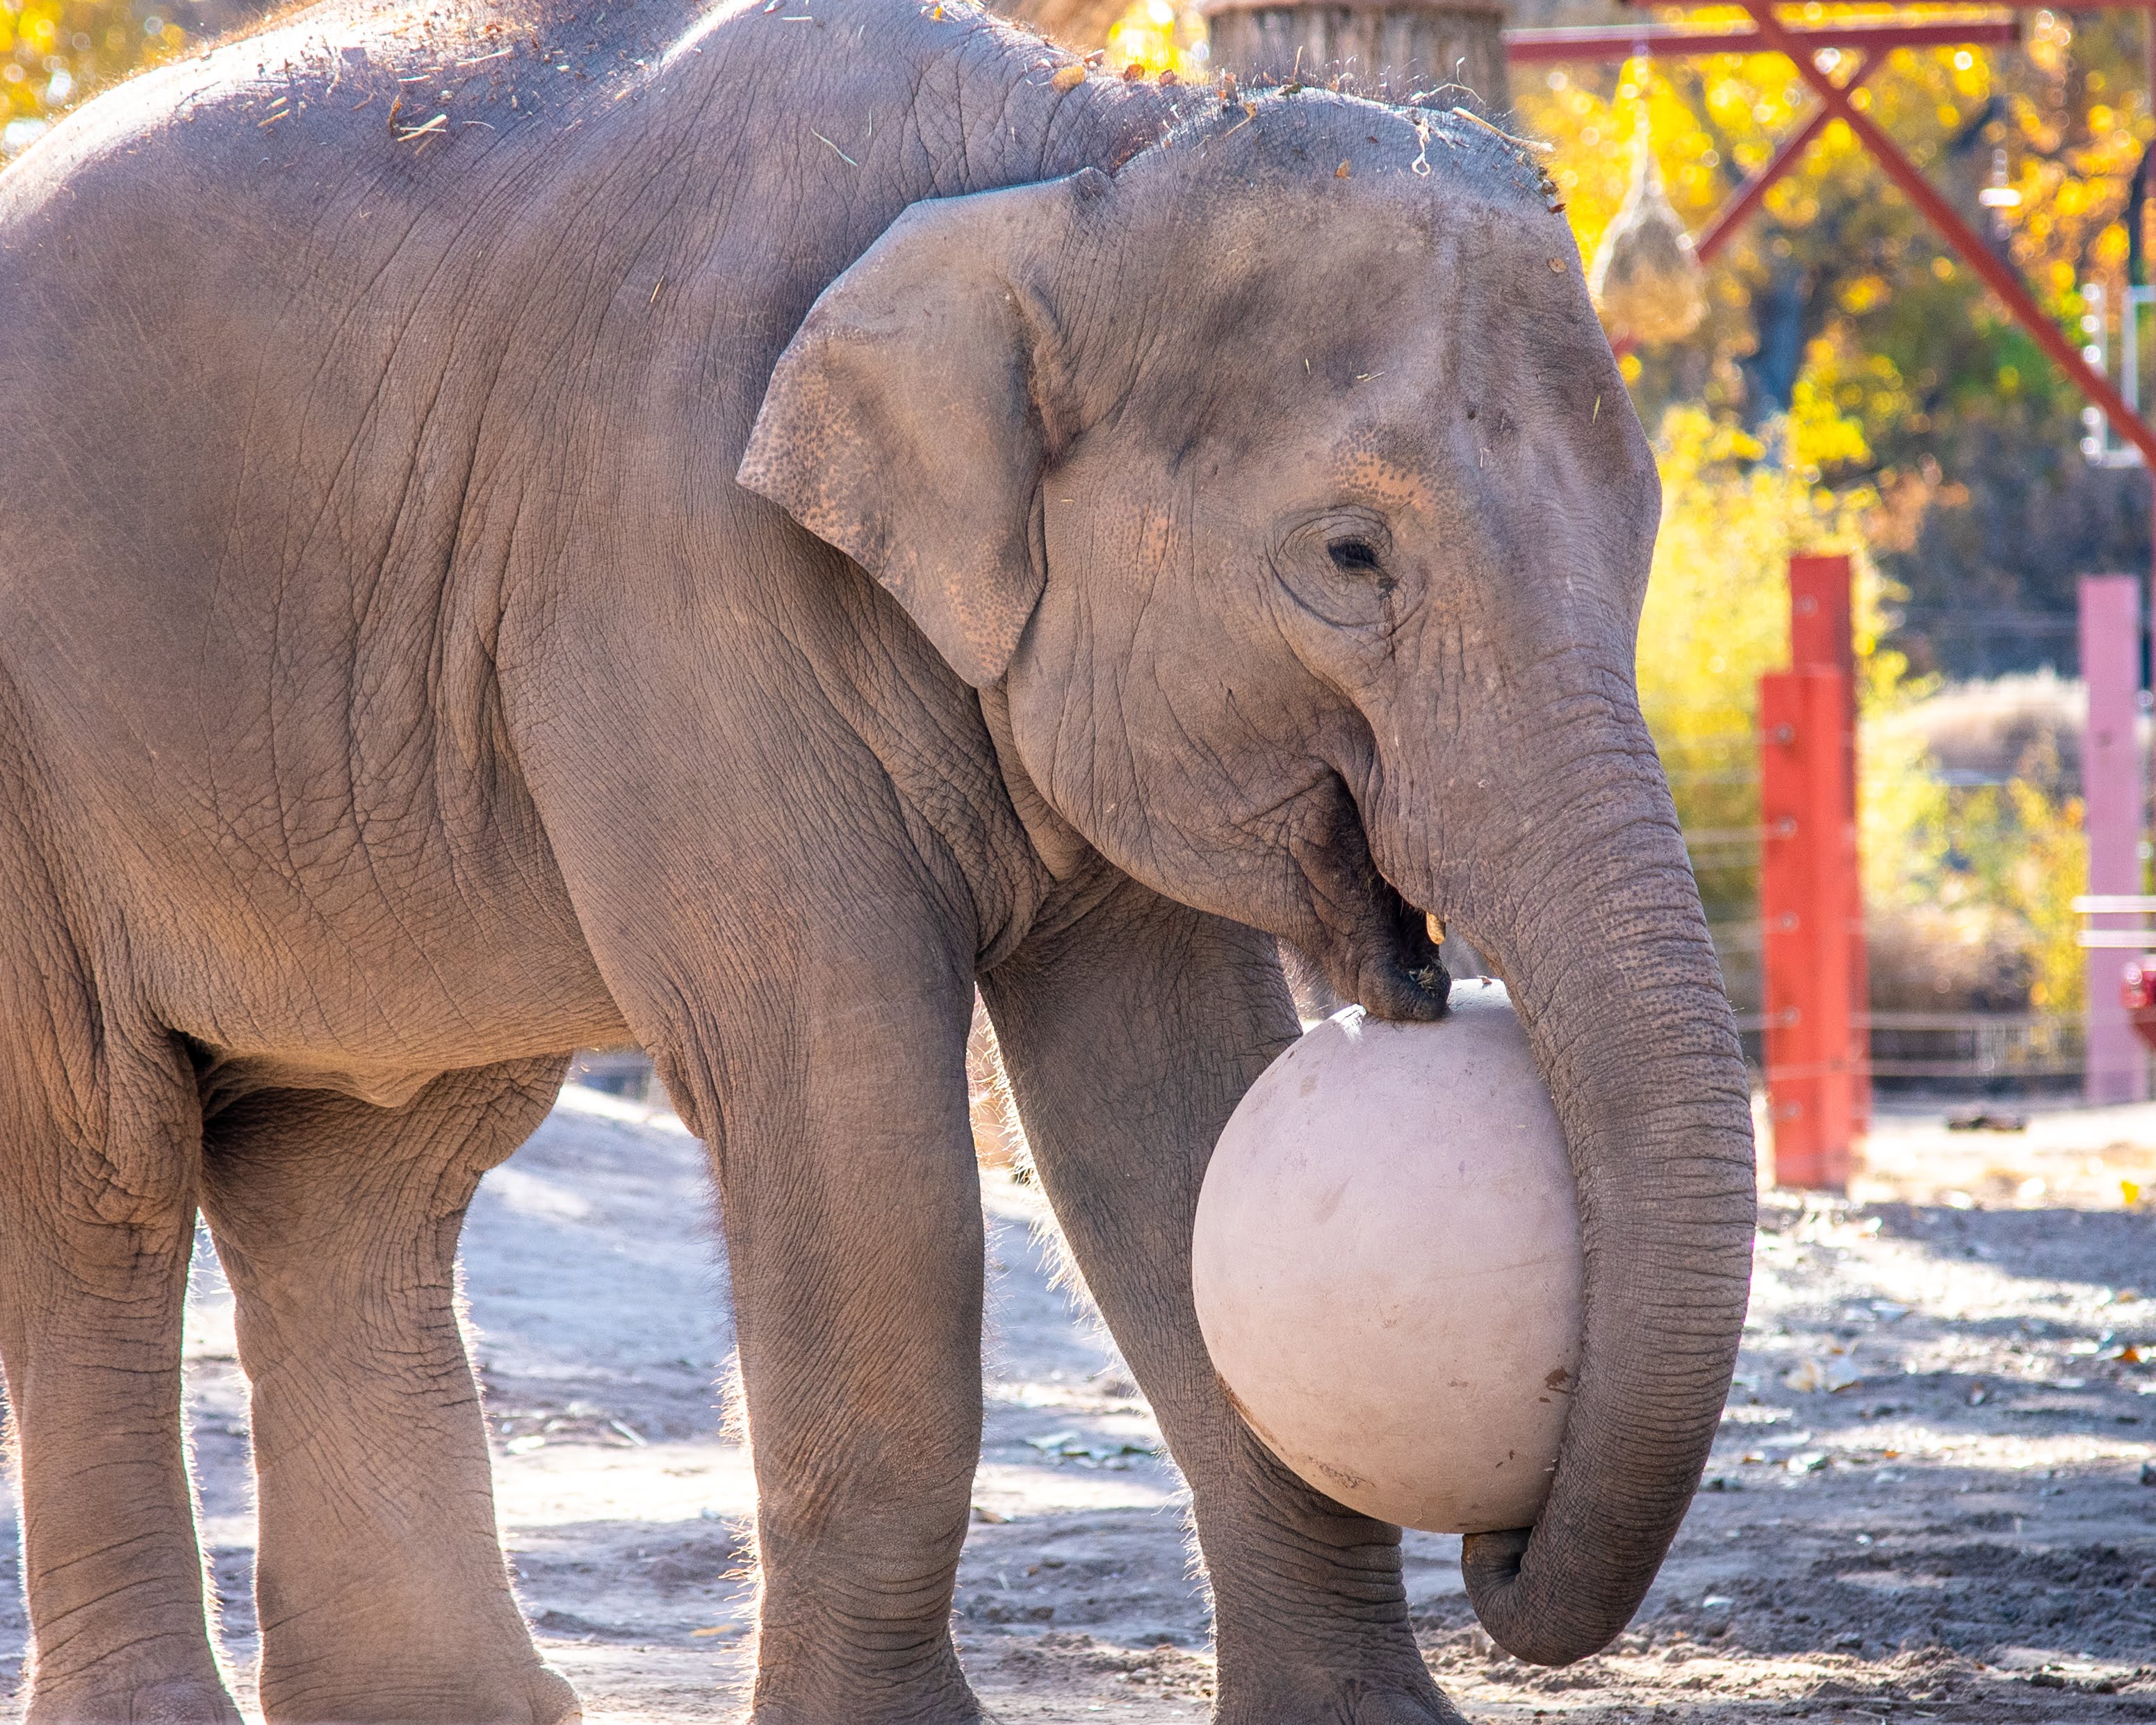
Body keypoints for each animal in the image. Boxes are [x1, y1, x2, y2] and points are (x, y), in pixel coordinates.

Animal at [0, 0, 1757, 1718]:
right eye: (1349, 556)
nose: (1502, 1540)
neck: (1076, 162)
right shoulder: (672, 567)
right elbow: (850, 1119)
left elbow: (1165, 1116)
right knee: (105, 1169)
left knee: (369, 1170)